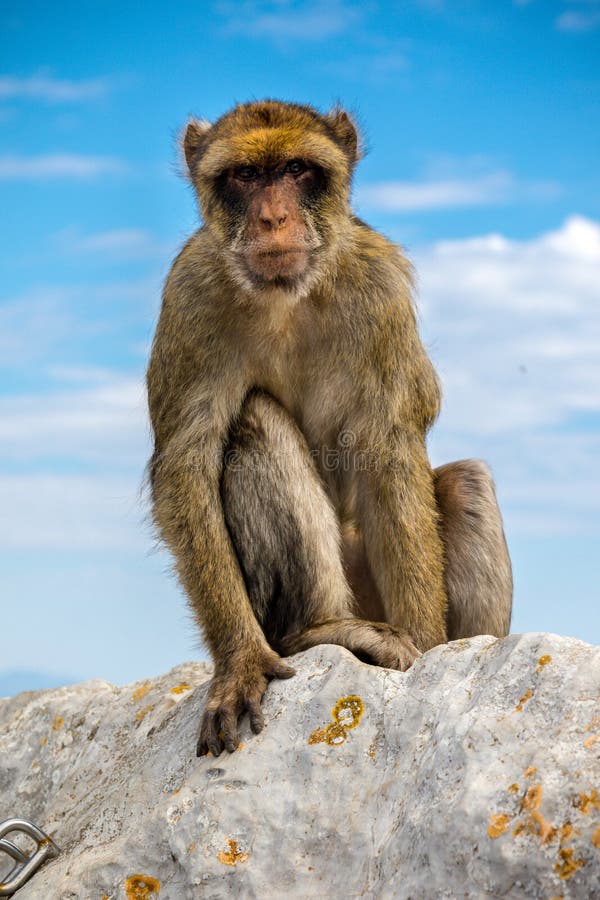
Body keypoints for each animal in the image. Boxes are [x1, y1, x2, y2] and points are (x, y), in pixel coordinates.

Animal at [146, 100, 512, 758]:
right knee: (256, 422)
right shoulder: (189, 294)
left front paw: (427, 656)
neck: (286, 294)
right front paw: (240, 661)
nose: (273, 217)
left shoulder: (381, 289)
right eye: (245, 176)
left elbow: (390, 446)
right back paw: (317, 632)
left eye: (296, 170)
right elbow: (184, 466)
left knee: (466, 482)